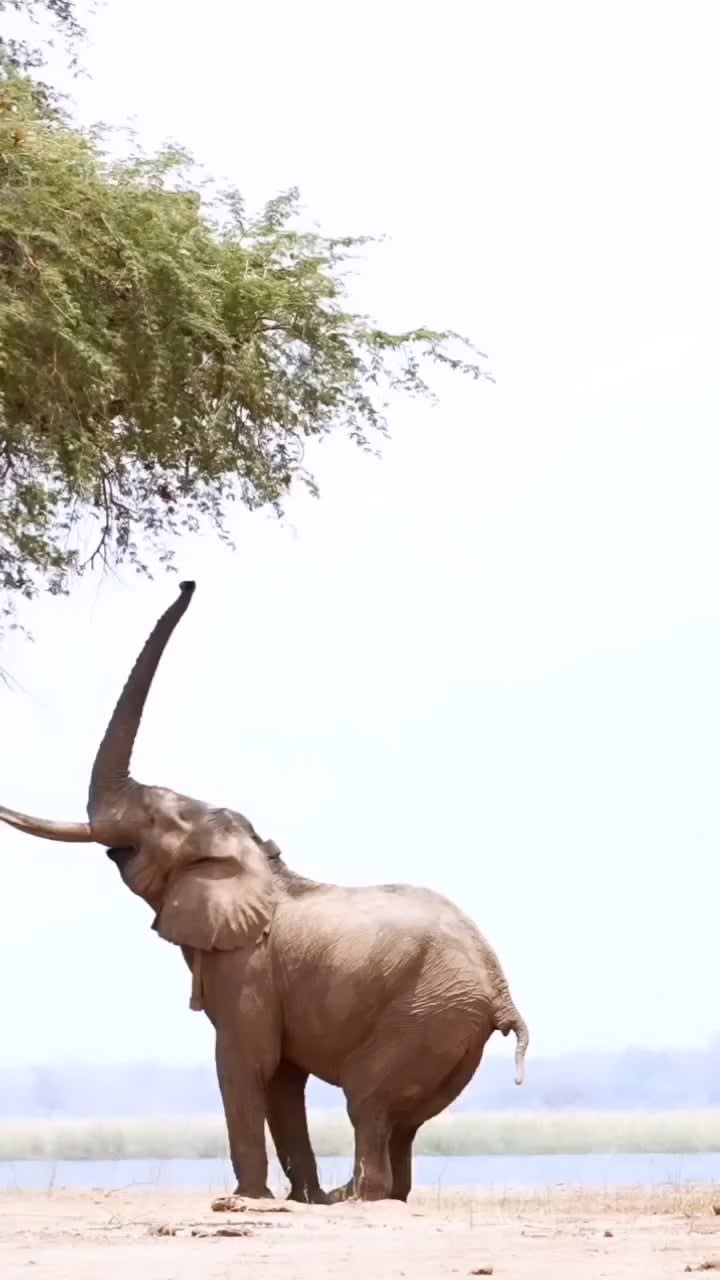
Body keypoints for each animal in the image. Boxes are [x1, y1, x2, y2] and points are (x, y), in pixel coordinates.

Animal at [0, 581, 529, 1203]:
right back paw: (359, 1197)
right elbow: (280, 1077)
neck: (255, 860)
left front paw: (250, 1199)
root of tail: (500, 993)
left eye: (154, 820)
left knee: (368, 1102)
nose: (187, 583)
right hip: (449, 1025)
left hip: (427, 1013)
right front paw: (300, 1200)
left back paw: (356, 1197)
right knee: (404, 1121)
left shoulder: (245, 965)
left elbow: (247, 1060)